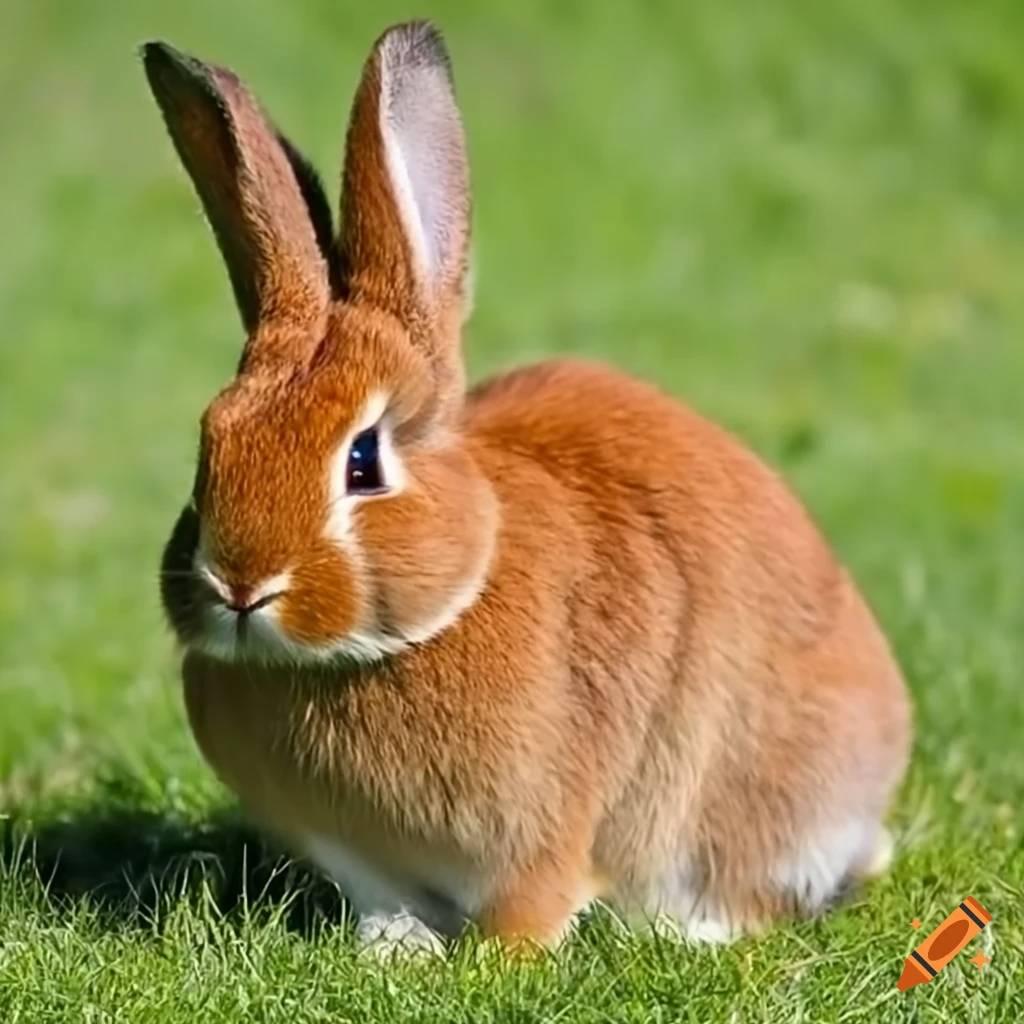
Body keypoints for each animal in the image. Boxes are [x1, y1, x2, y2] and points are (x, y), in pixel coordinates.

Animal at [145, 20, 911, 953]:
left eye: (363, 462)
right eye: (210, 444)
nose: (242, 586)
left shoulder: (548, 829)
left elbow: (533, 901)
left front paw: (496, 962)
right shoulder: (349, 851)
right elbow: (383, 900)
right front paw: (395, 951)